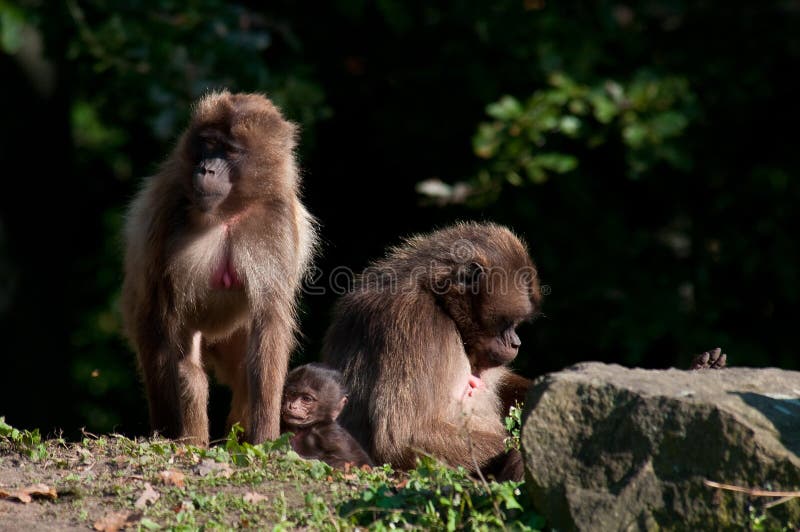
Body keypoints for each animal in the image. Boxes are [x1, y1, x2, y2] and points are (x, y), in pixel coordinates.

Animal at [121, 91, 316, 446]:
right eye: (209, 143)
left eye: (229, 150)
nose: (206, 169)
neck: (228, 210)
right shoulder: (166, 210)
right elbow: (159, 317)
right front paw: (167, 431)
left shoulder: (276, 220)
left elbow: (269, 325)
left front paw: (266, 438)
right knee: (187, 367)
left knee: (246, 370)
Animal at [322, 222, 540, 481]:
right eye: (508, 324)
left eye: (516, 324)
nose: (516, 343)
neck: (439, 300)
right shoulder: (417, 323)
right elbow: (405, 437)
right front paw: (519, 456)